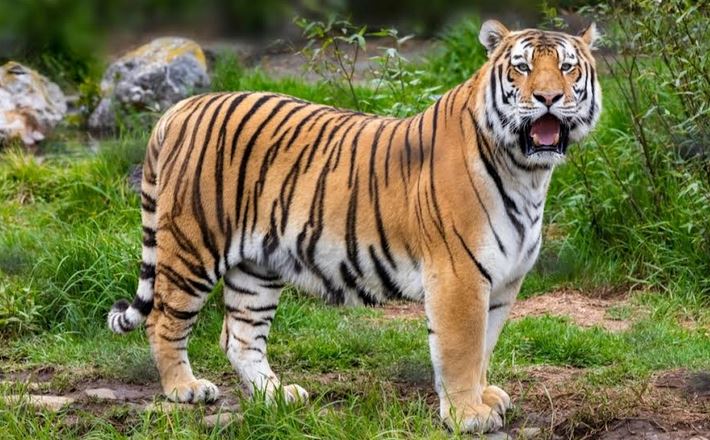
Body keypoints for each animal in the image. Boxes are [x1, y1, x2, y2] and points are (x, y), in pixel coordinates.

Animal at [107, 20, 601, 433]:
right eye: (521, 68)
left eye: (566, 67)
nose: (549, 98)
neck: (528, 174)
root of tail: (180, 109)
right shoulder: (458, 276)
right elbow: (461, 350)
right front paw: (468, 415)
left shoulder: (503, 281)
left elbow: (484, 347)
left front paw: (484, 398)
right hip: (193, 246)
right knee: (164, 320)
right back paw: (185, 389)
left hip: (257, 265)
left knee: (239, 336)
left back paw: (277, 397)